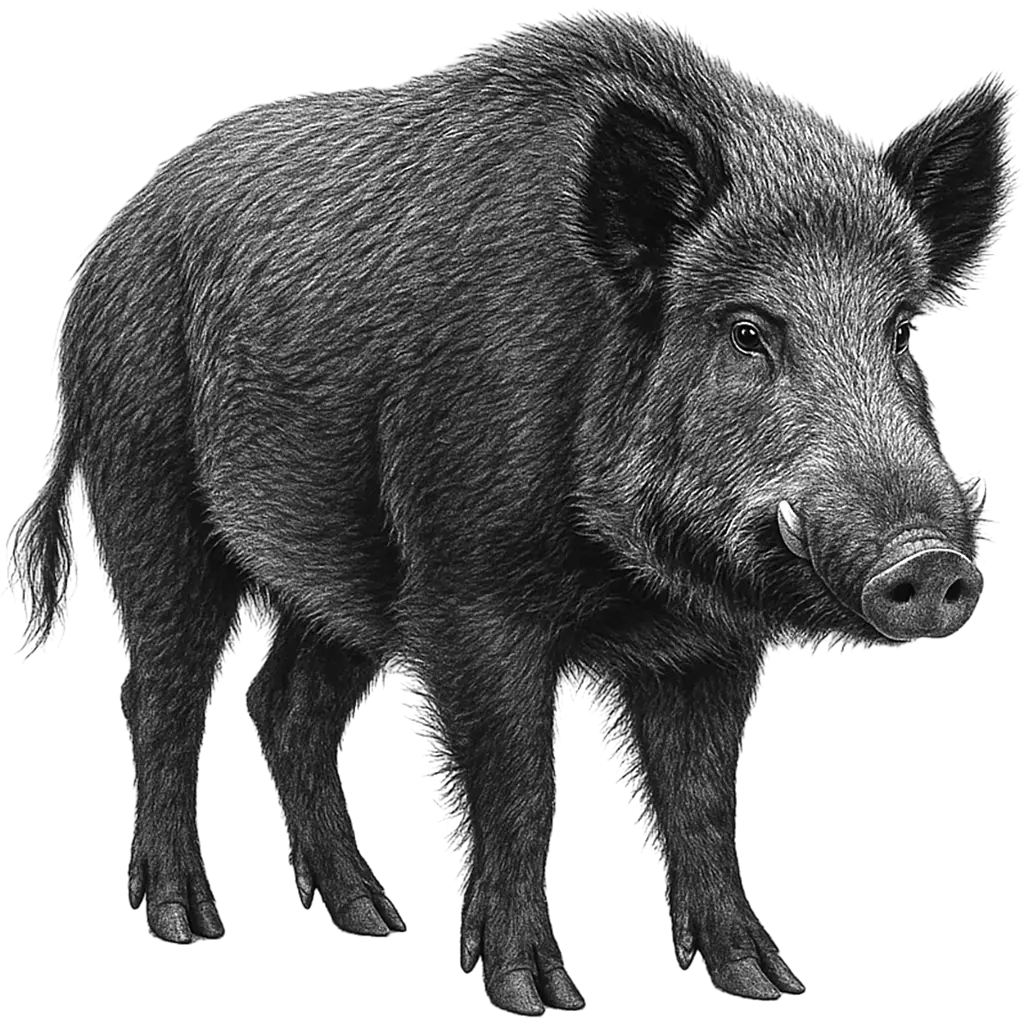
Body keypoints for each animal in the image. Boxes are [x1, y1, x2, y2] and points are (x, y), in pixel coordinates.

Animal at [6, 7, 1013, 1015]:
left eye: (902, 332)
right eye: (747, 332)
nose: (931, 563)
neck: (627, 580)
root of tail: (100, 257)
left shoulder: (710, 641)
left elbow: (697, 800)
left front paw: (764, 982)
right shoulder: (470, 600)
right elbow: (519, 789)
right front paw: (539, 994)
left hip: (336, 564)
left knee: (286, 698)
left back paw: (374, 917)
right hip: (148, 491)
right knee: (162, 694)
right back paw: (190, 923)